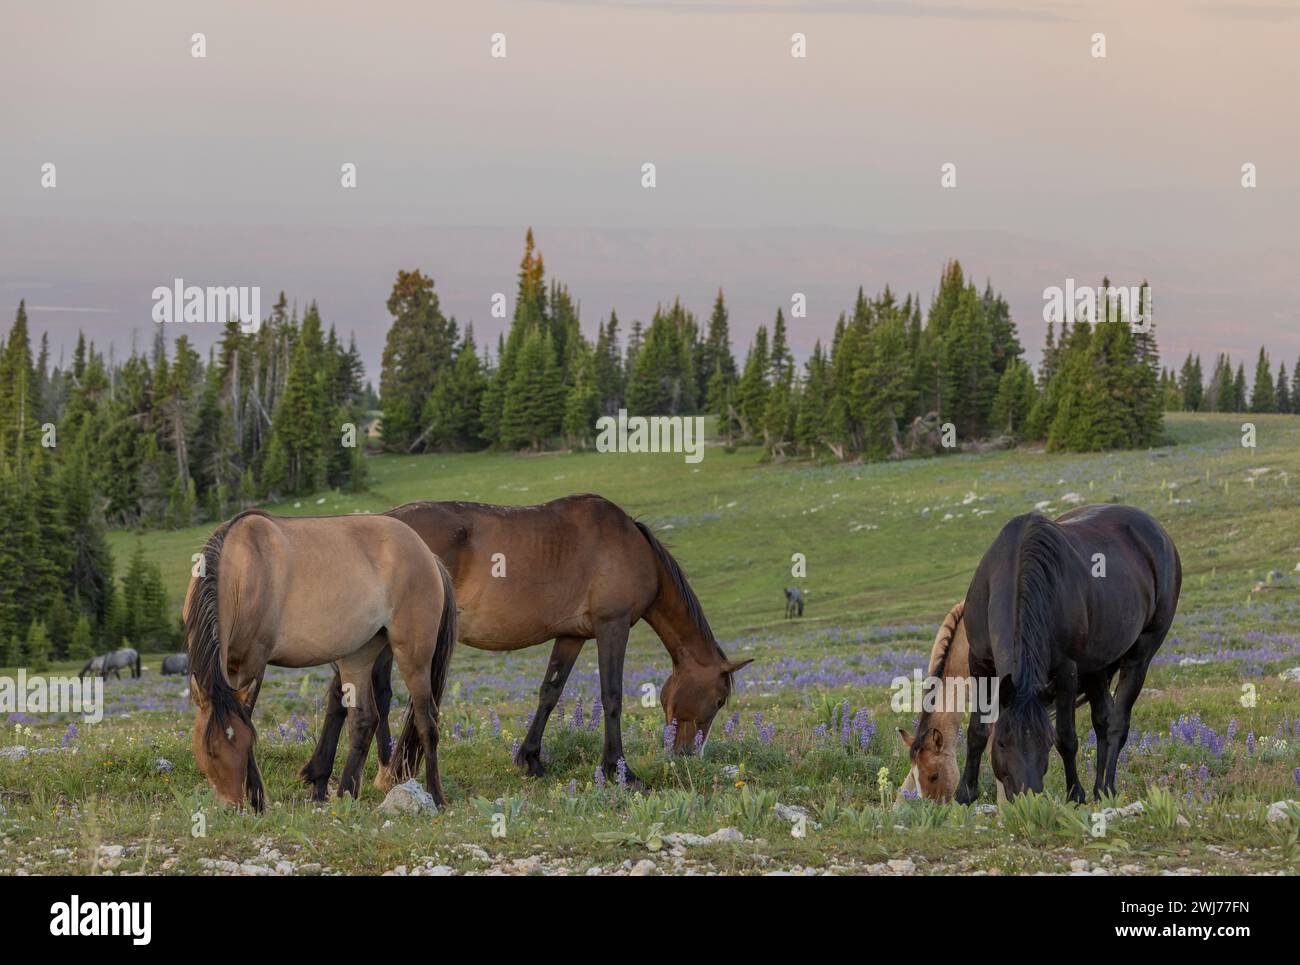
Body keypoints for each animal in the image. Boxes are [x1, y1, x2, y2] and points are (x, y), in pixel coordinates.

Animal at [184, 510, 457, 811]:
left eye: (247, 744)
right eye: (210, 749)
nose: (234, 805)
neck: (241, 570)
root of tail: (428, 556)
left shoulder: (254, 661)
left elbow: (248, 714)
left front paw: (258, 799)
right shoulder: (232, 664)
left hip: (413, 657)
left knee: (426, 720)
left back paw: (436, 796)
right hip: (358, 656)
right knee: (364, 720)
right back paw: (346, 793)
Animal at [299, 495, 751, 800]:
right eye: (719, 701)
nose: (687, 754)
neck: (629, 545)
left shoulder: (572, 636)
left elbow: (550, 692)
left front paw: (530, 759)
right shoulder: (613, 627)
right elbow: (612, 697)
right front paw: (618, 769)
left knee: (344, 693)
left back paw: (322, 776)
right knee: (368, 692)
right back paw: (367, 772)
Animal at [956, 505, 1180, 802]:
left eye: (1045, 741)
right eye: (1002, 743)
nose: (1028, 796)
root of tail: (1161, 535)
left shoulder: (1067, 670)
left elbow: (1067, 737)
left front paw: (1075, 794)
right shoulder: (979, 663)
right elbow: (977, 731)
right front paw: (964, 793)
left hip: (1141, 652)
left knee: (1117, 723)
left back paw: (1106, 789)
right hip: (1097, 666)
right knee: (1103, 719)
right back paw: (1099, 789)